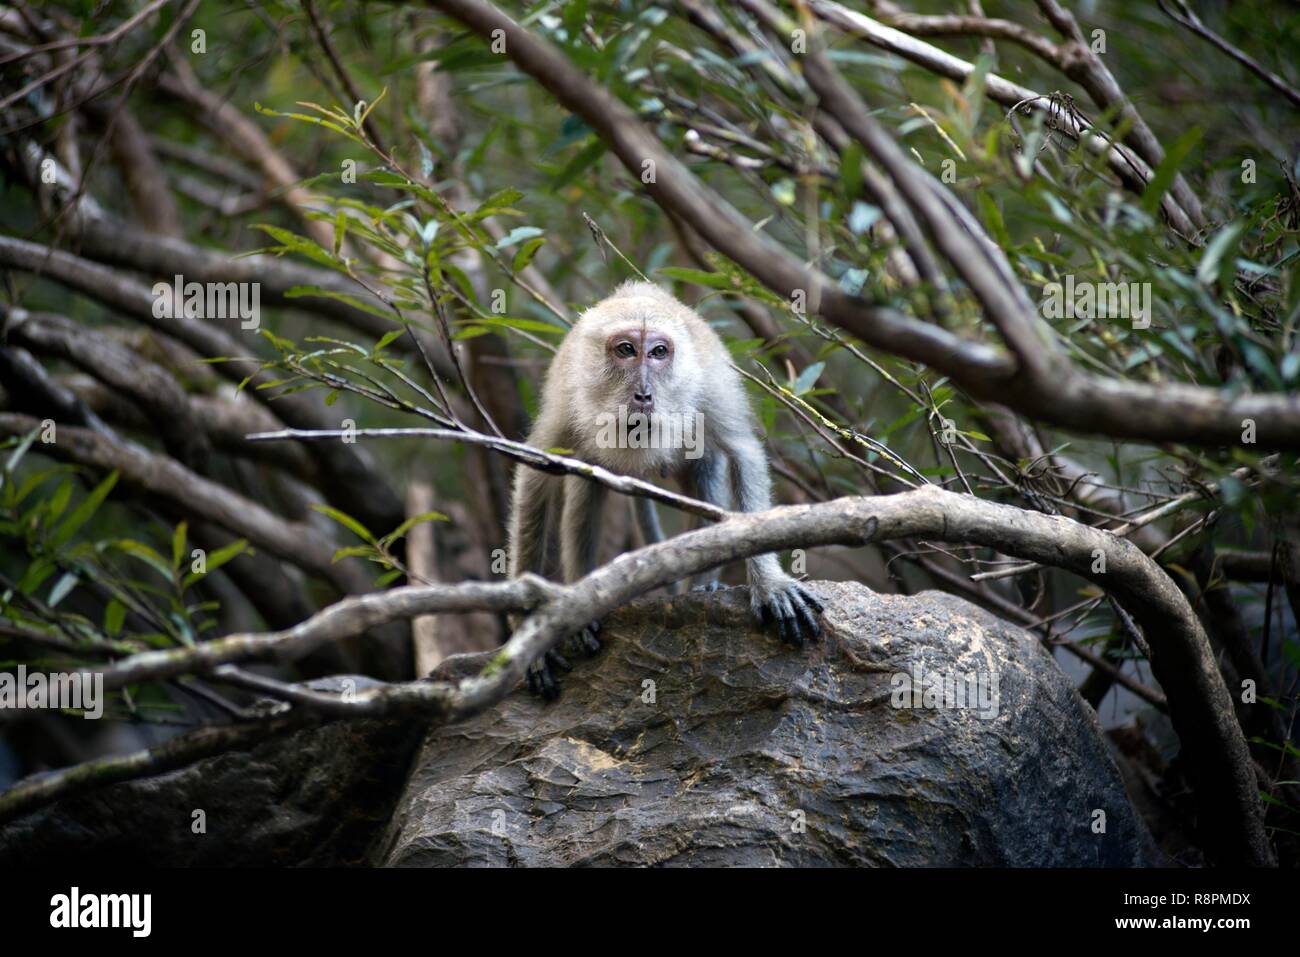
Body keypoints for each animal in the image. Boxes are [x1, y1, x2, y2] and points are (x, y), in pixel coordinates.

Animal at [508, 281, 823, 698]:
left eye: (659, 352)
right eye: (626, 349)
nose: (643, 394)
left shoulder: (709, 388)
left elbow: (743, 454)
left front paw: (769, 582)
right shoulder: (567, 398)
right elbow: (537, 479)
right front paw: (530, 632)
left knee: (708, 472)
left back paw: (703, 588)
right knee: (586, 493)